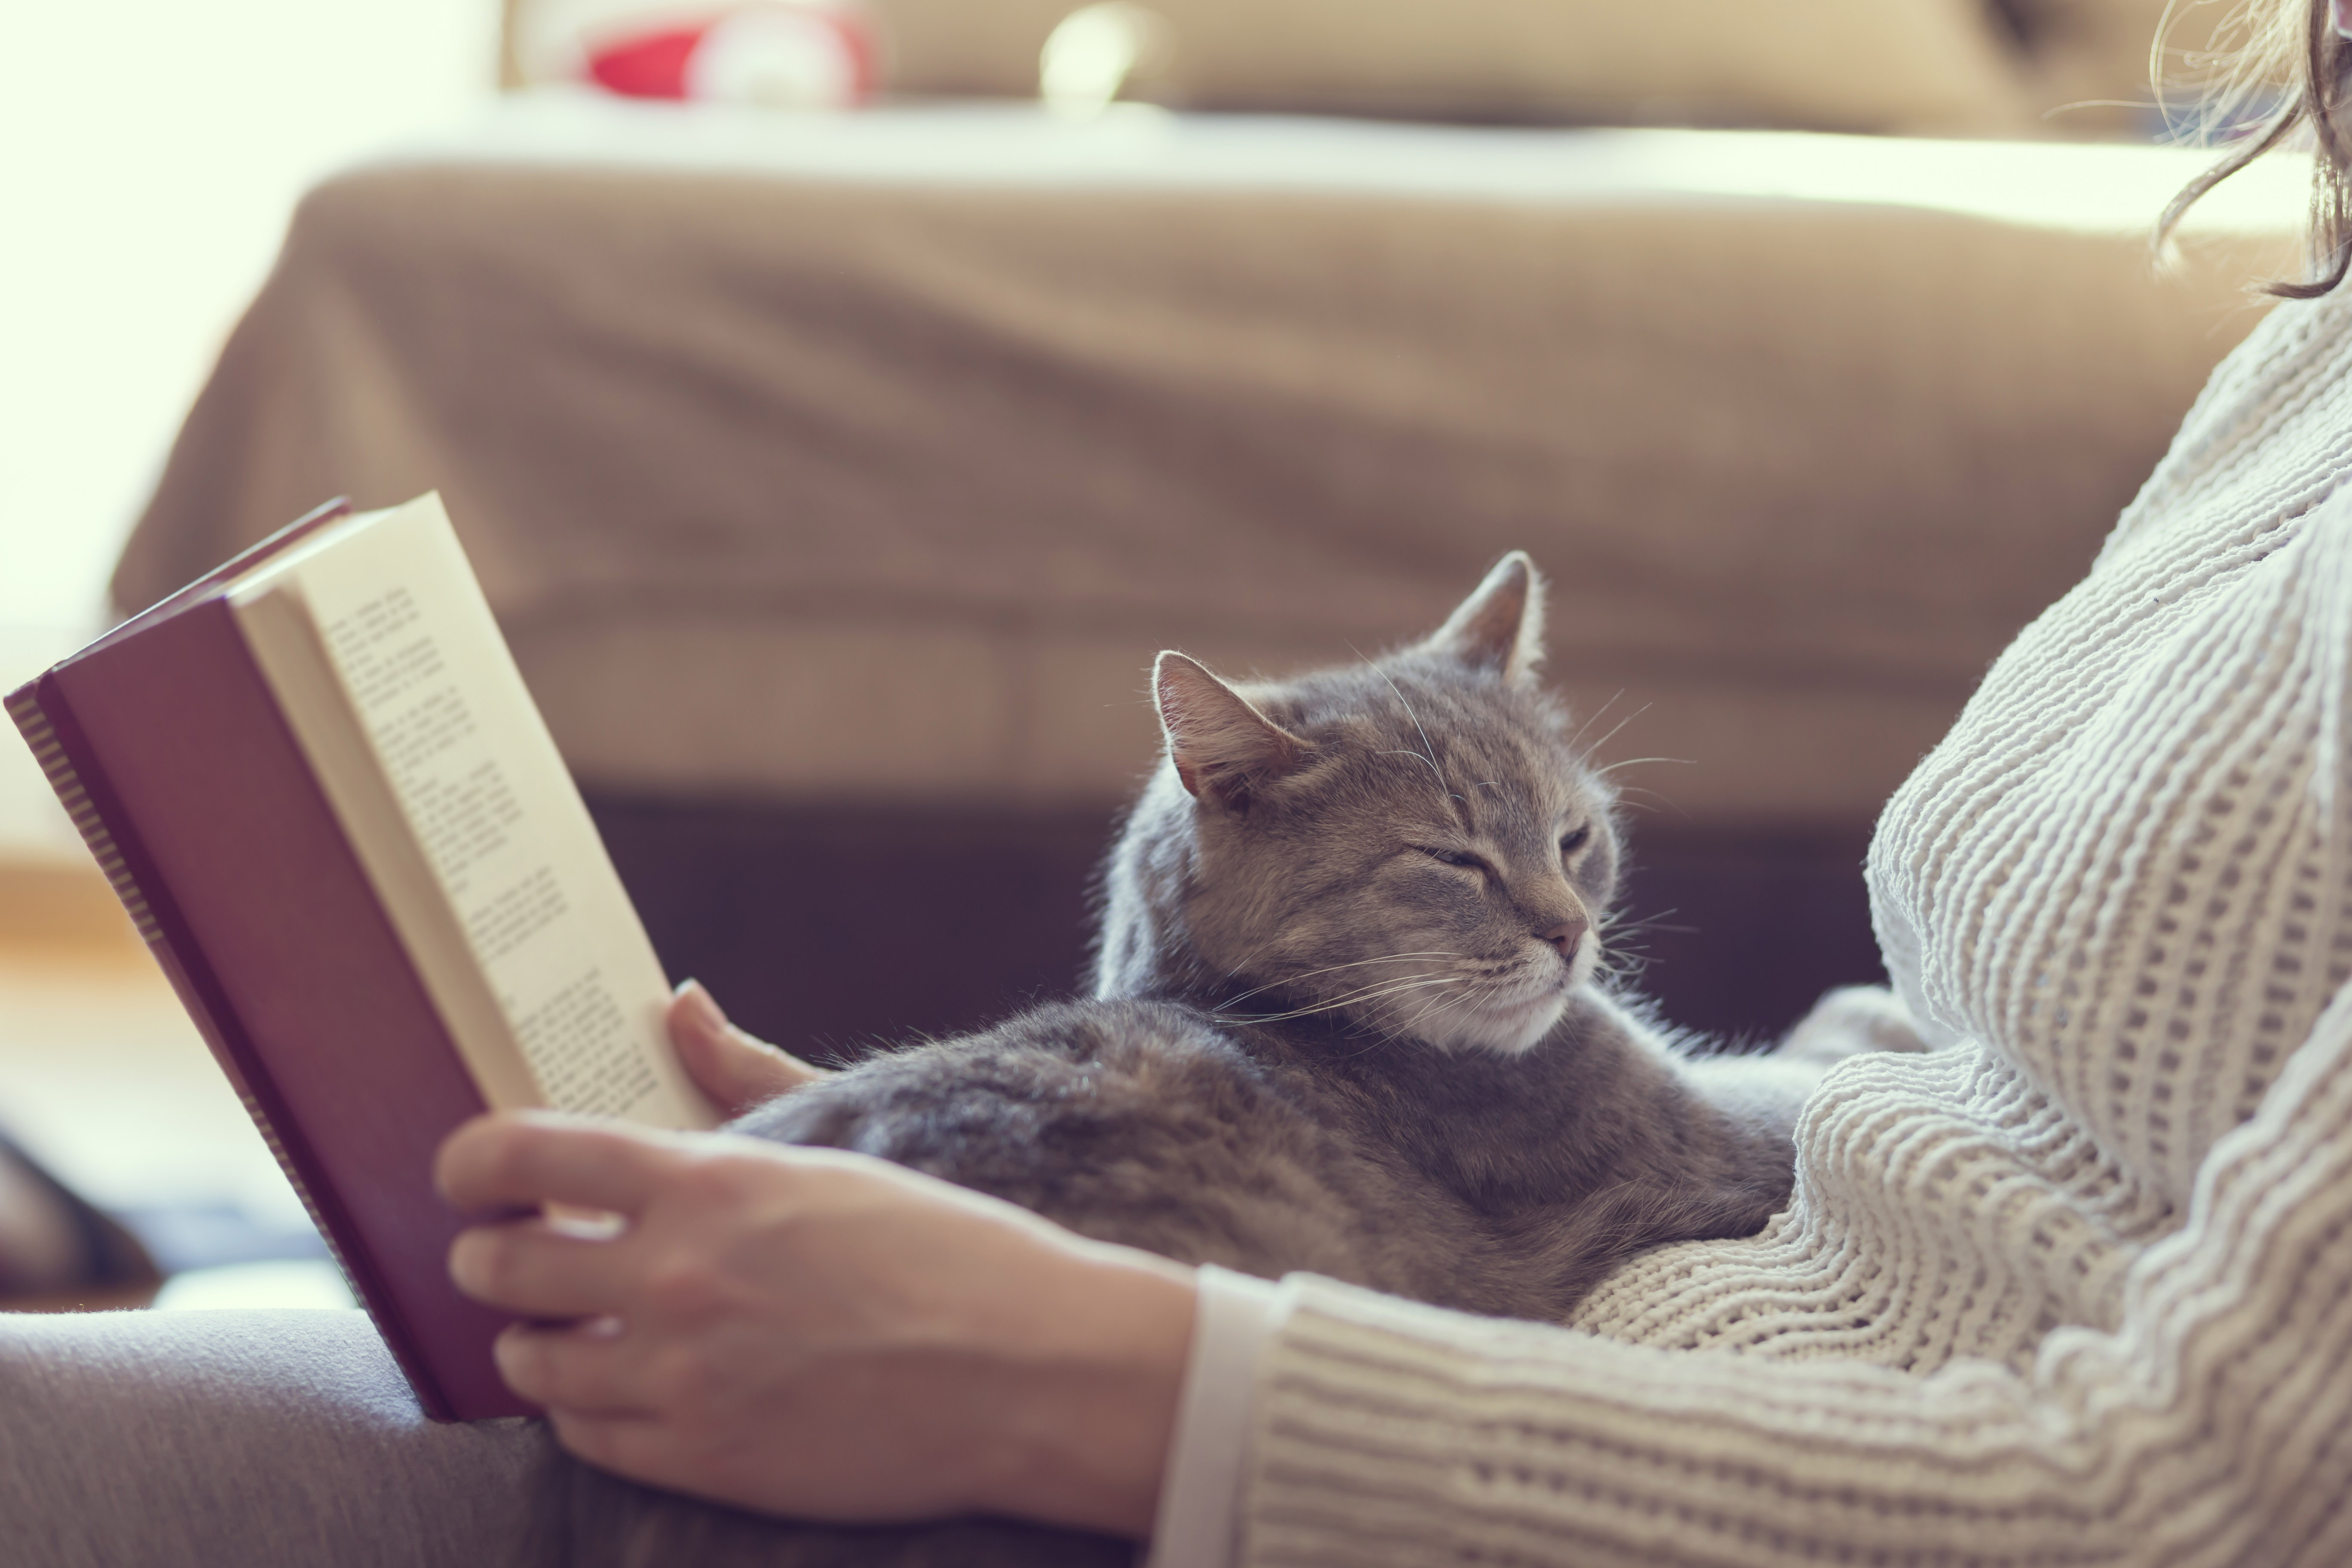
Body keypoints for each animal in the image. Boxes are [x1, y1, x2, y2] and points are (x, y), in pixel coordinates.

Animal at [539, 552, 1910, 1568]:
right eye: (1453, 860)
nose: (1573, 936)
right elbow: (1816, 1076)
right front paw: (1875, 1023)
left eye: (1576, 837)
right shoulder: (1697, 1130)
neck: (1240, 1002)